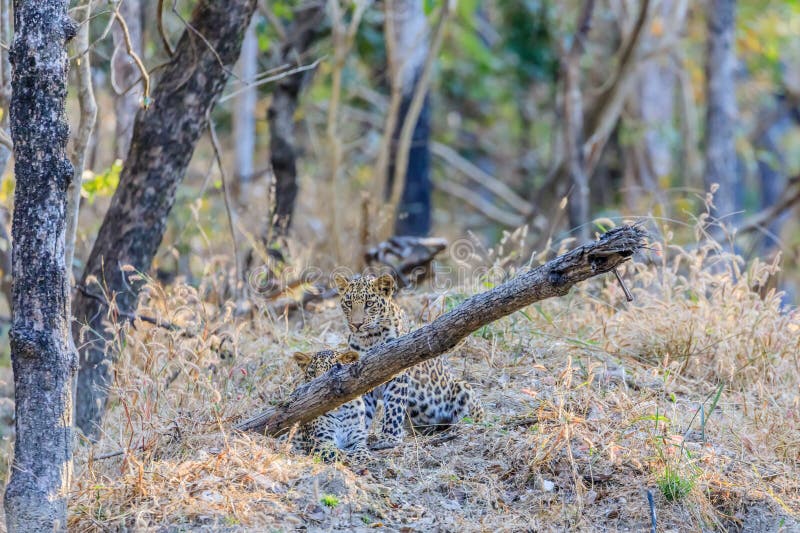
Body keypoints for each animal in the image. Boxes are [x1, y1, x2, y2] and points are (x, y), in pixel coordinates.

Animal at [333, 273, 484, 448]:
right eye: (348, 303)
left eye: (369, 304)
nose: (356, 324)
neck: (368, 339)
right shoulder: (360, 381)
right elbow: (364, 410)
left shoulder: (397, 374)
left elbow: (394, 406)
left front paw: (388, 438)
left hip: (462, 388)